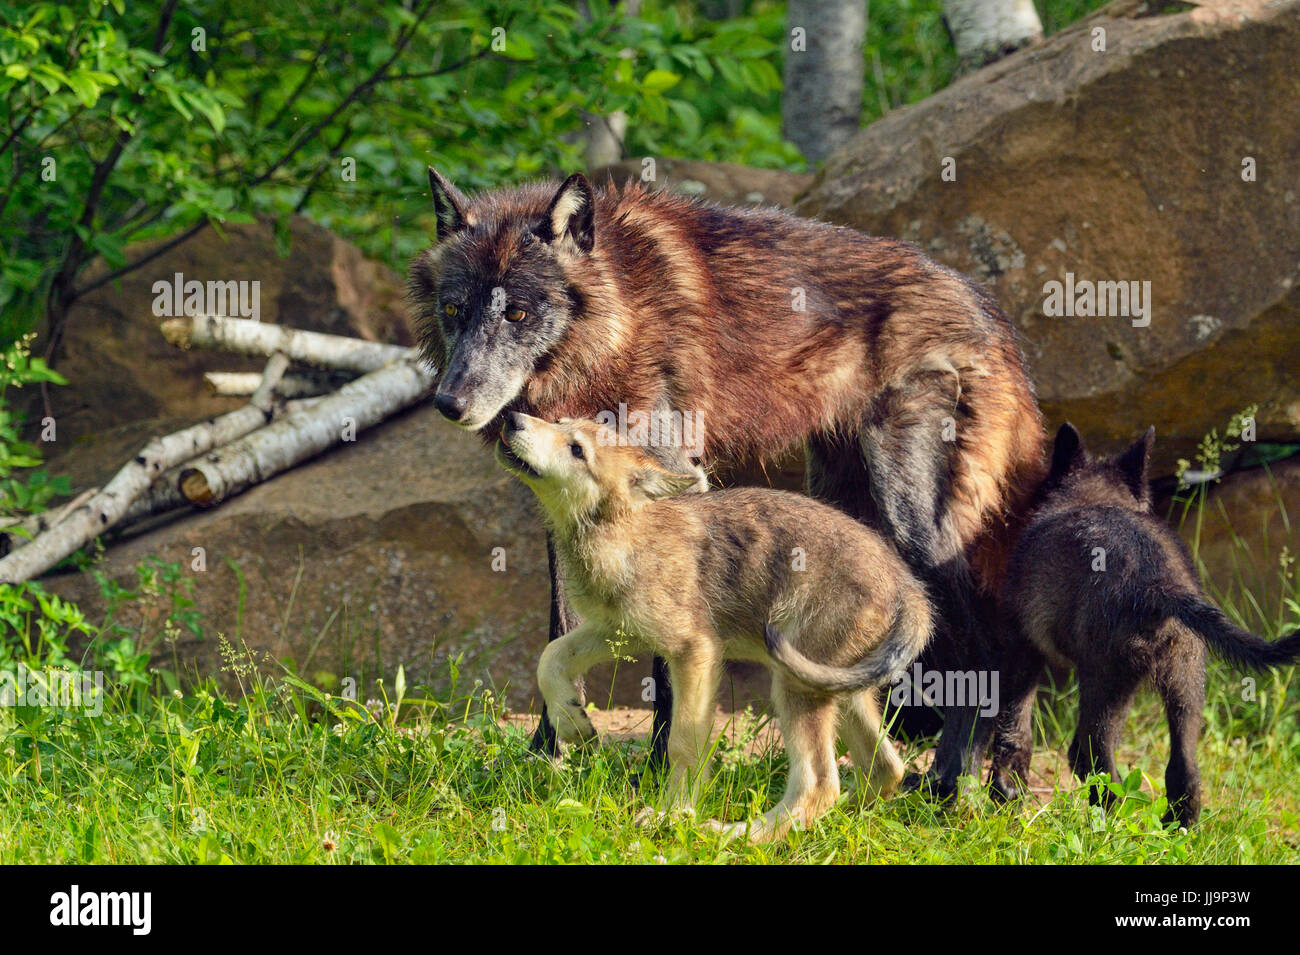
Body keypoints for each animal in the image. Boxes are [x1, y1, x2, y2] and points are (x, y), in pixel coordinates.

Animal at [408, 167, 1045, 797]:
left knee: (989, 641)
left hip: (911, 516)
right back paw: (1003, 783)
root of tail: (989, 310)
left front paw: (659, 768)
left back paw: (950, 784)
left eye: (516, 313)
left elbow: (669, 660)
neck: (617, 322)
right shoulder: (558, 503)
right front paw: (549, 753)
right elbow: (556, 633)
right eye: (454, 310)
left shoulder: (678, 479)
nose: (450, 403)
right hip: (849, 505)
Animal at [496, 412, 932, 842]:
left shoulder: (694, 649)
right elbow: (551, 658)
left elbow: (682, 744)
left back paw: (736, 834)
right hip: (841, 690)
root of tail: (910, 588)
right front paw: (571, 720)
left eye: (577, 450)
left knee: (820, 784)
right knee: (885, 769)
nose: (513, 417)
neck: (621, 533)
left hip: (794, 685)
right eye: (557, 421)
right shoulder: (620, 630)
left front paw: (672, 815)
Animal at [988, 423, 1300, 827]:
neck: (1093, 497)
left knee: (1097, 759)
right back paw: (1176, 827)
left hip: (1105, 681)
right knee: (1184, 770)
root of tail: (1158, 584)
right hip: (1186, 680)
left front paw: (1005, 794)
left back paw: (1104, 825)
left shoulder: (1022, 644)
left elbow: (1014, 725)